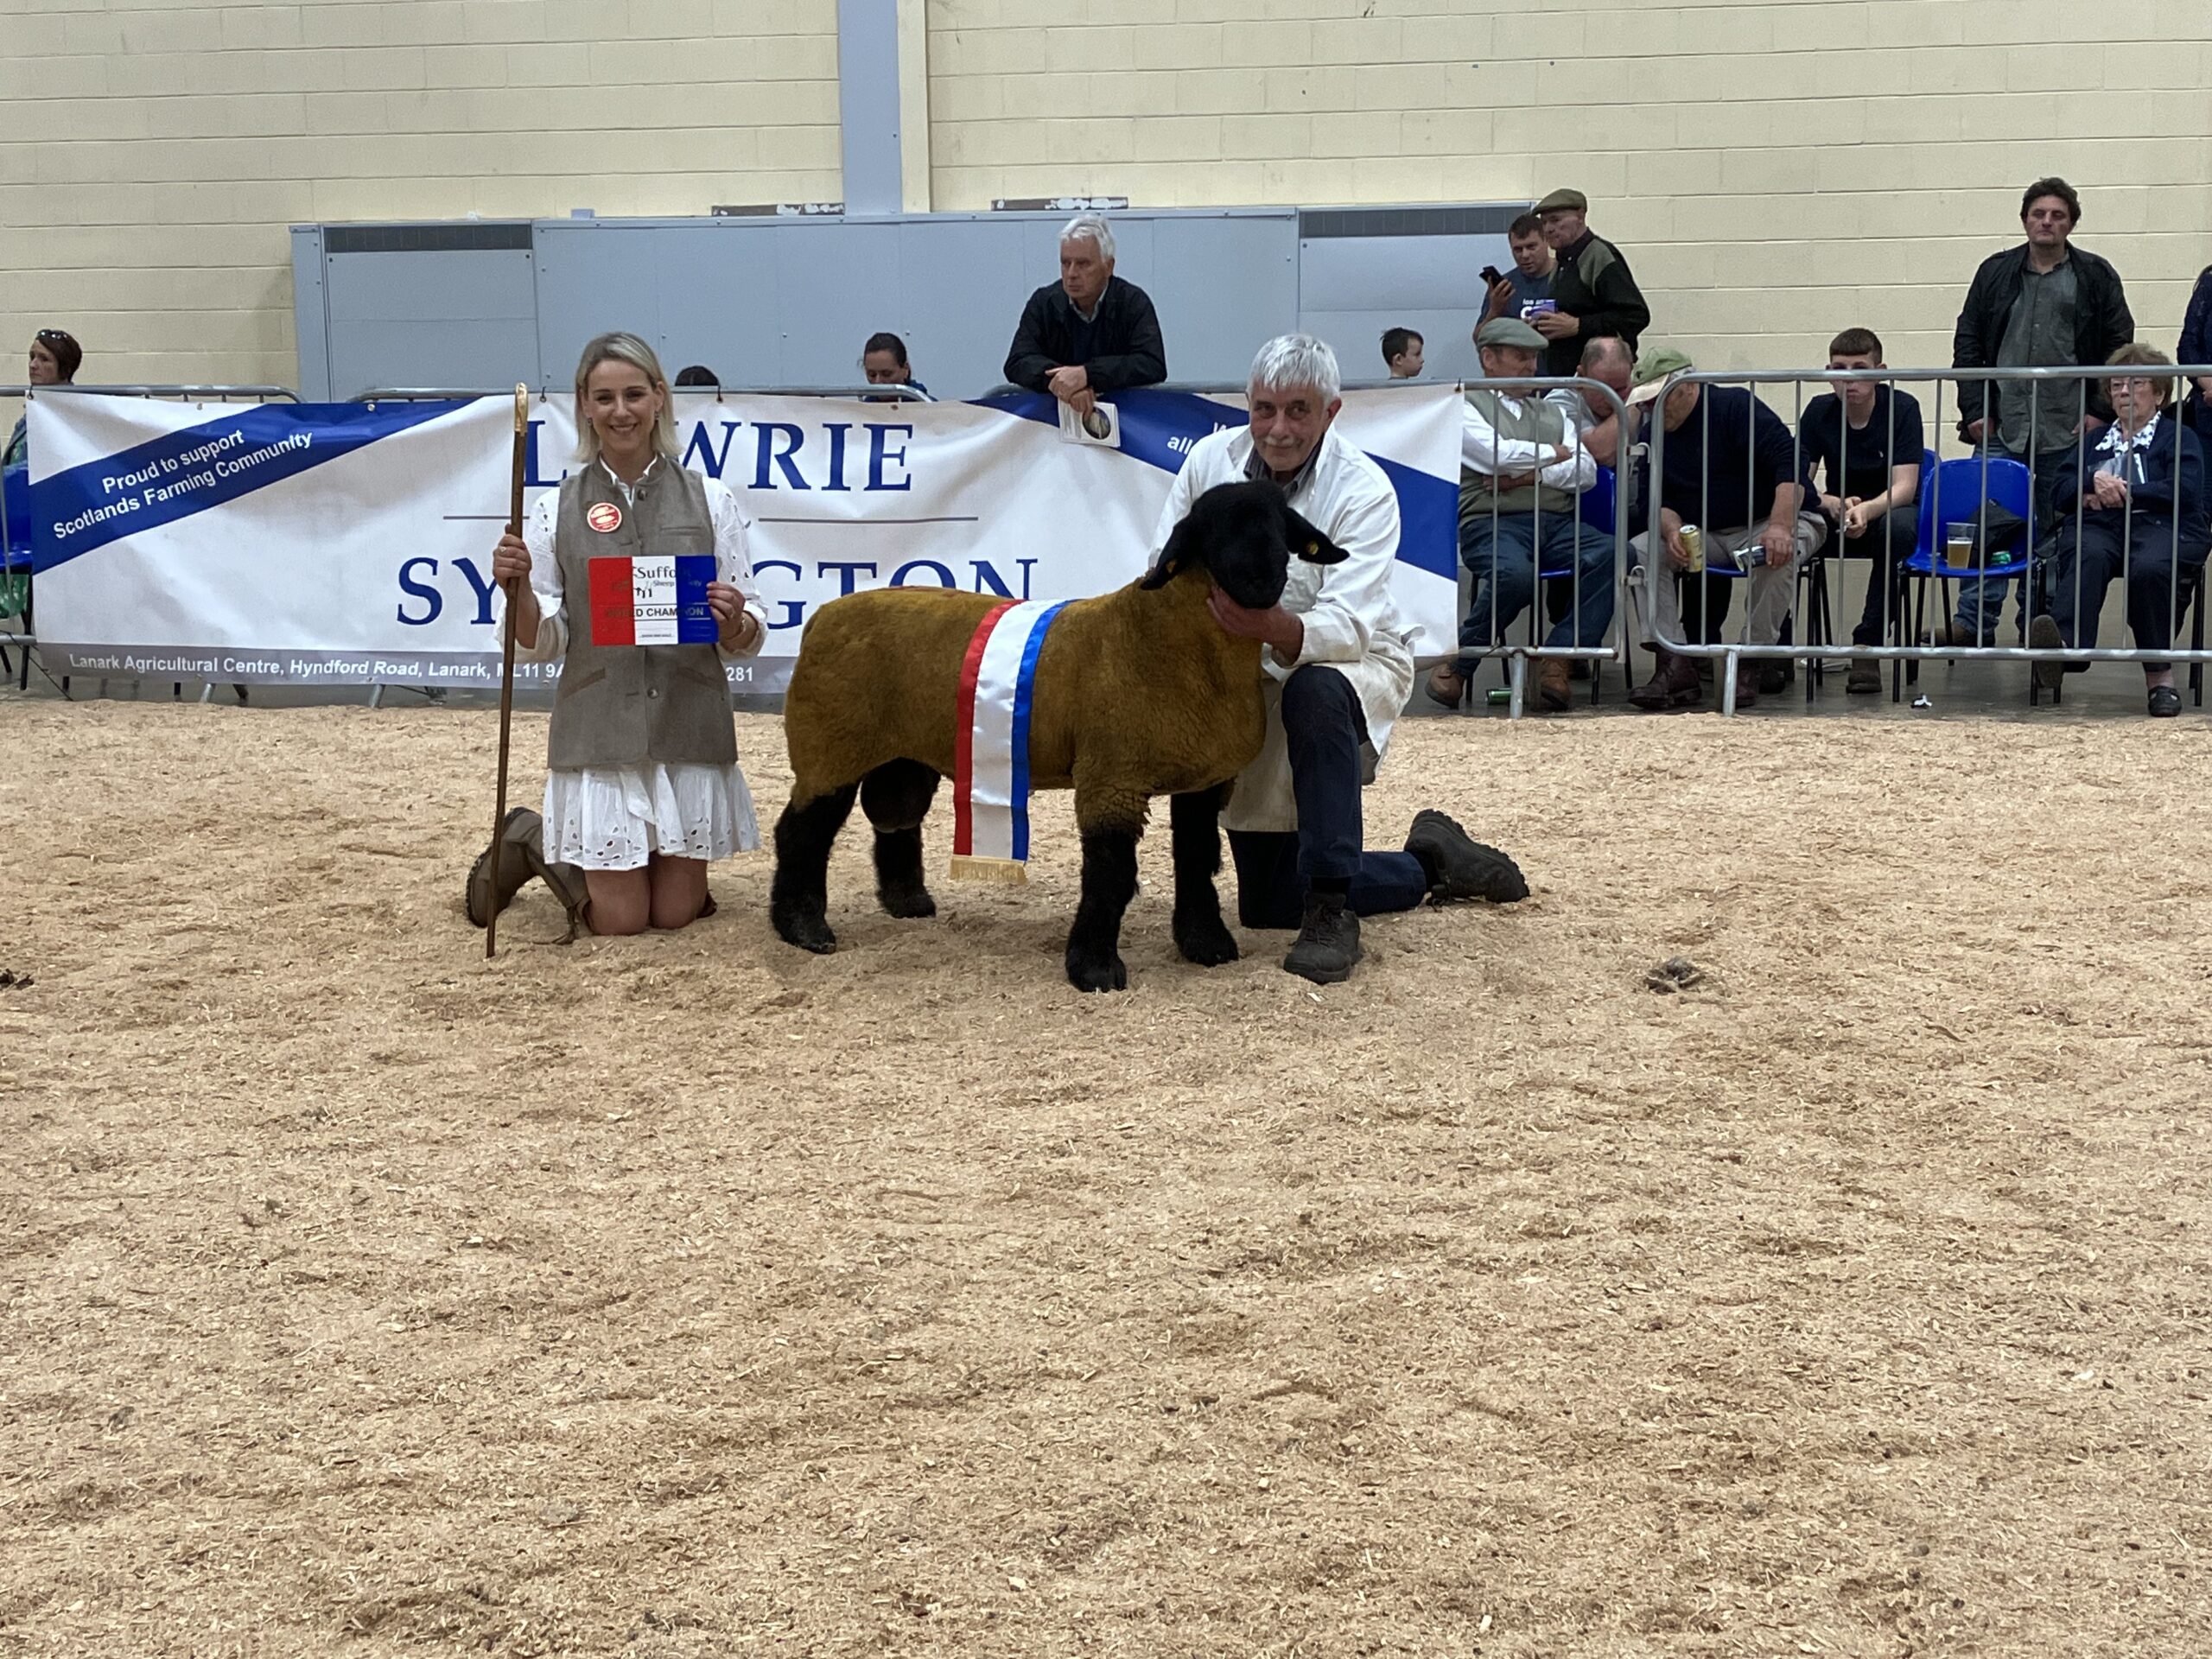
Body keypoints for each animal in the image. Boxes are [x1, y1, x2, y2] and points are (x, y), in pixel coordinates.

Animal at [770, 480, 1348, 991]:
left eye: (1281, 526)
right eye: (1211, 528)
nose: (1262, 580)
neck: (1166, 637)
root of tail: (822, 616)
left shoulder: (1203, 780)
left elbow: (1197, 859)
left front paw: (1206, 945)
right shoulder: (1111, 778)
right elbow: (1110, 874)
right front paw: (1094, 968)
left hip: (902, 753)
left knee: (894, 815)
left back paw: (908, 904)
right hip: (830, 745)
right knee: (802, 831)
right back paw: (803, 928)